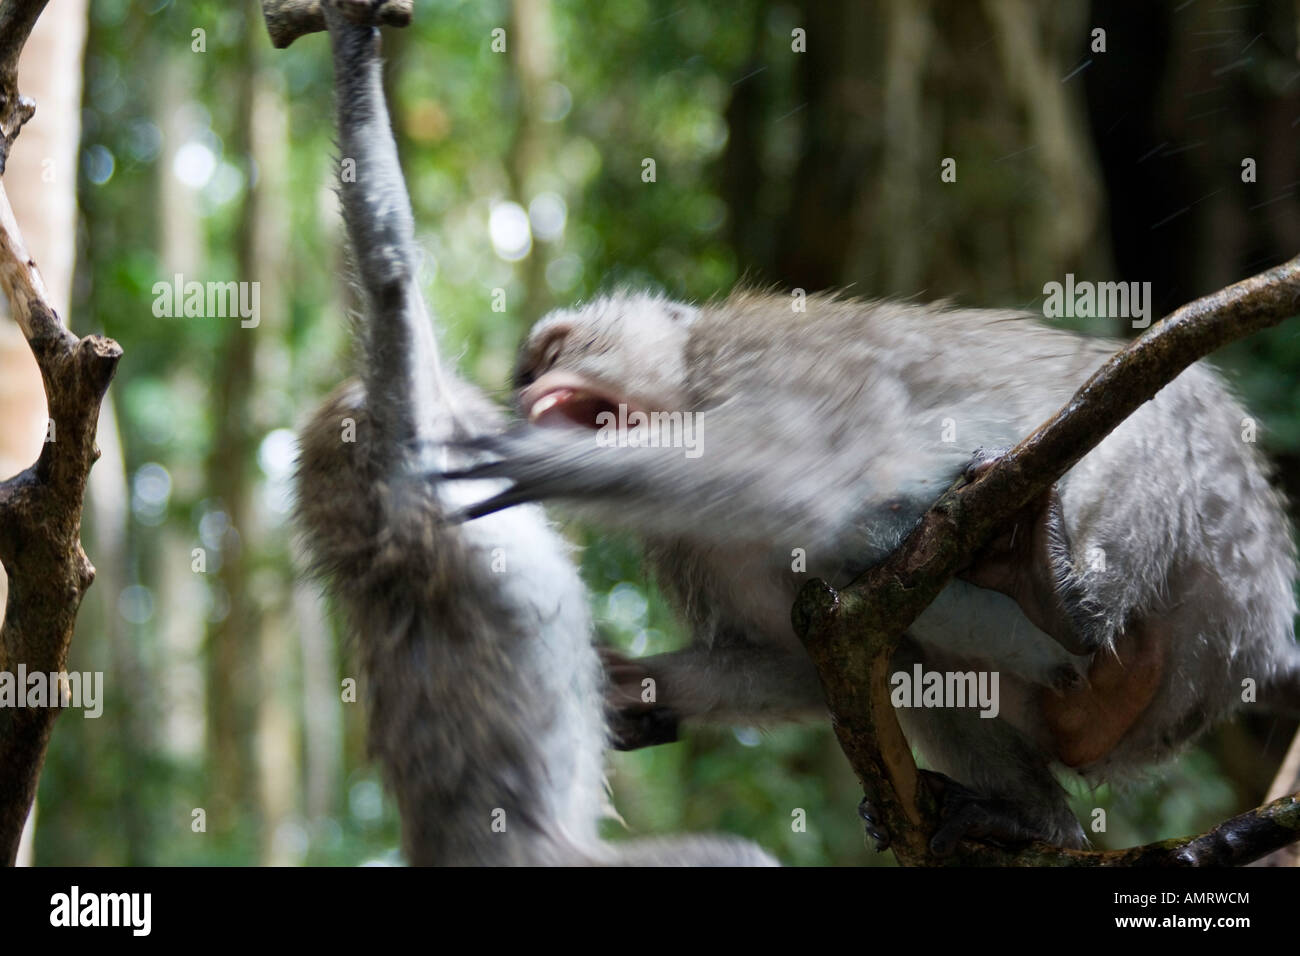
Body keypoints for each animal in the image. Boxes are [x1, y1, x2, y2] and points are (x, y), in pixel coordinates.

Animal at [450, 287, 1300, 852]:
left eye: (555, 352)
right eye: (526, 374)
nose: (528, 391)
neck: (687, 386)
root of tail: (1265, 631)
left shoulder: (765, 363)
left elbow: (818, 483)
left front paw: (538, 463)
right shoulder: (695, 551)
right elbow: (802, 662)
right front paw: (633, 686)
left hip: (1218, 539)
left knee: (1163, 406)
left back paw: (1065, 600)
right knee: (906, 659)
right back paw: (1032, 818)